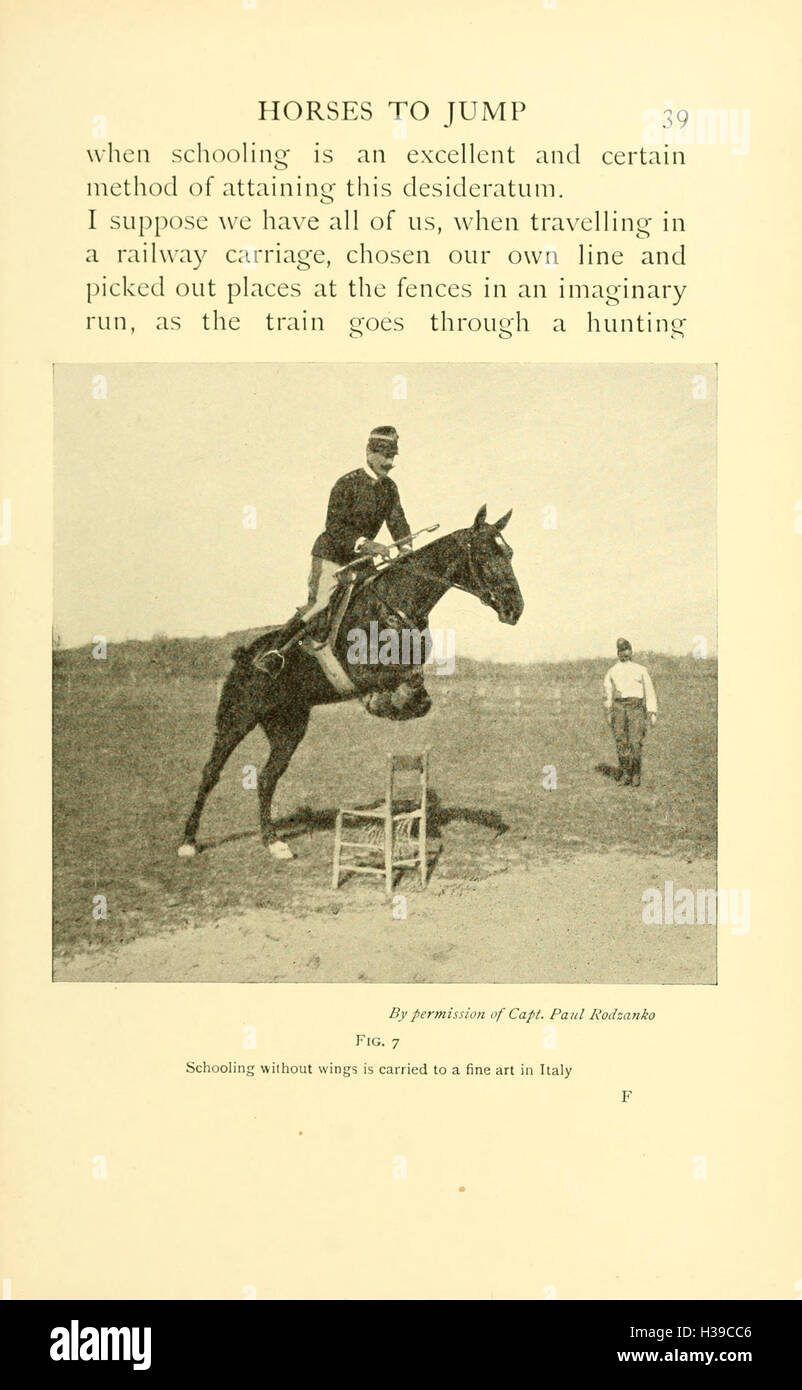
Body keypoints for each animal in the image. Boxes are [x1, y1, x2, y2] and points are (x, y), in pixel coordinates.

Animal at [178, 505, 524, 860]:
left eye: (509, 552)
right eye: (484, 555)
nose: (515, 609)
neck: (395, 604)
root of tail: (244, 655)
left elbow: (420, 693)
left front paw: (397, 703)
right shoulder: (364, 671)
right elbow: (401, 678)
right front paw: (382, 702)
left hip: (288, 726)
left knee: (267, 778)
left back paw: (273, 841)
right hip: (238, 717)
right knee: (211, 772)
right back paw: (189, 841)